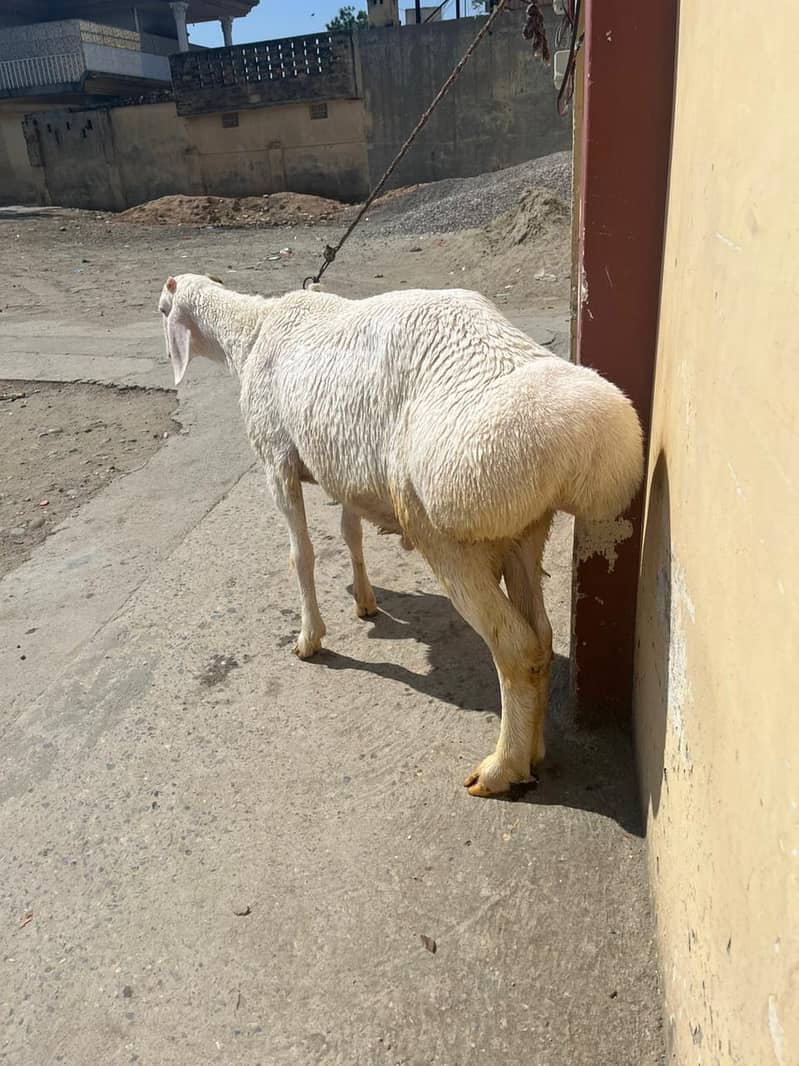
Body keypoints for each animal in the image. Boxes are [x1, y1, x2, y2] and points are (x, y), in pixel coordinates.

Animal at [158, 274, 643, 797]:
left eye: (163, 309)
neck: (251, 332)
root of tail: (593, 443)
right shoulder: (342, 468)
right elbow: (350, 533)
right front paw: (364, 600)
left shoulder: (276, 458)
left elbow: (300, 554)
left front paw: (309, 637)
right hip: (522, 528)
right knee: (542, 636)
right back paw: (531, 752)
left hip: (448, 526)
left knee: (516, 648)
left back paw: (500, 769)